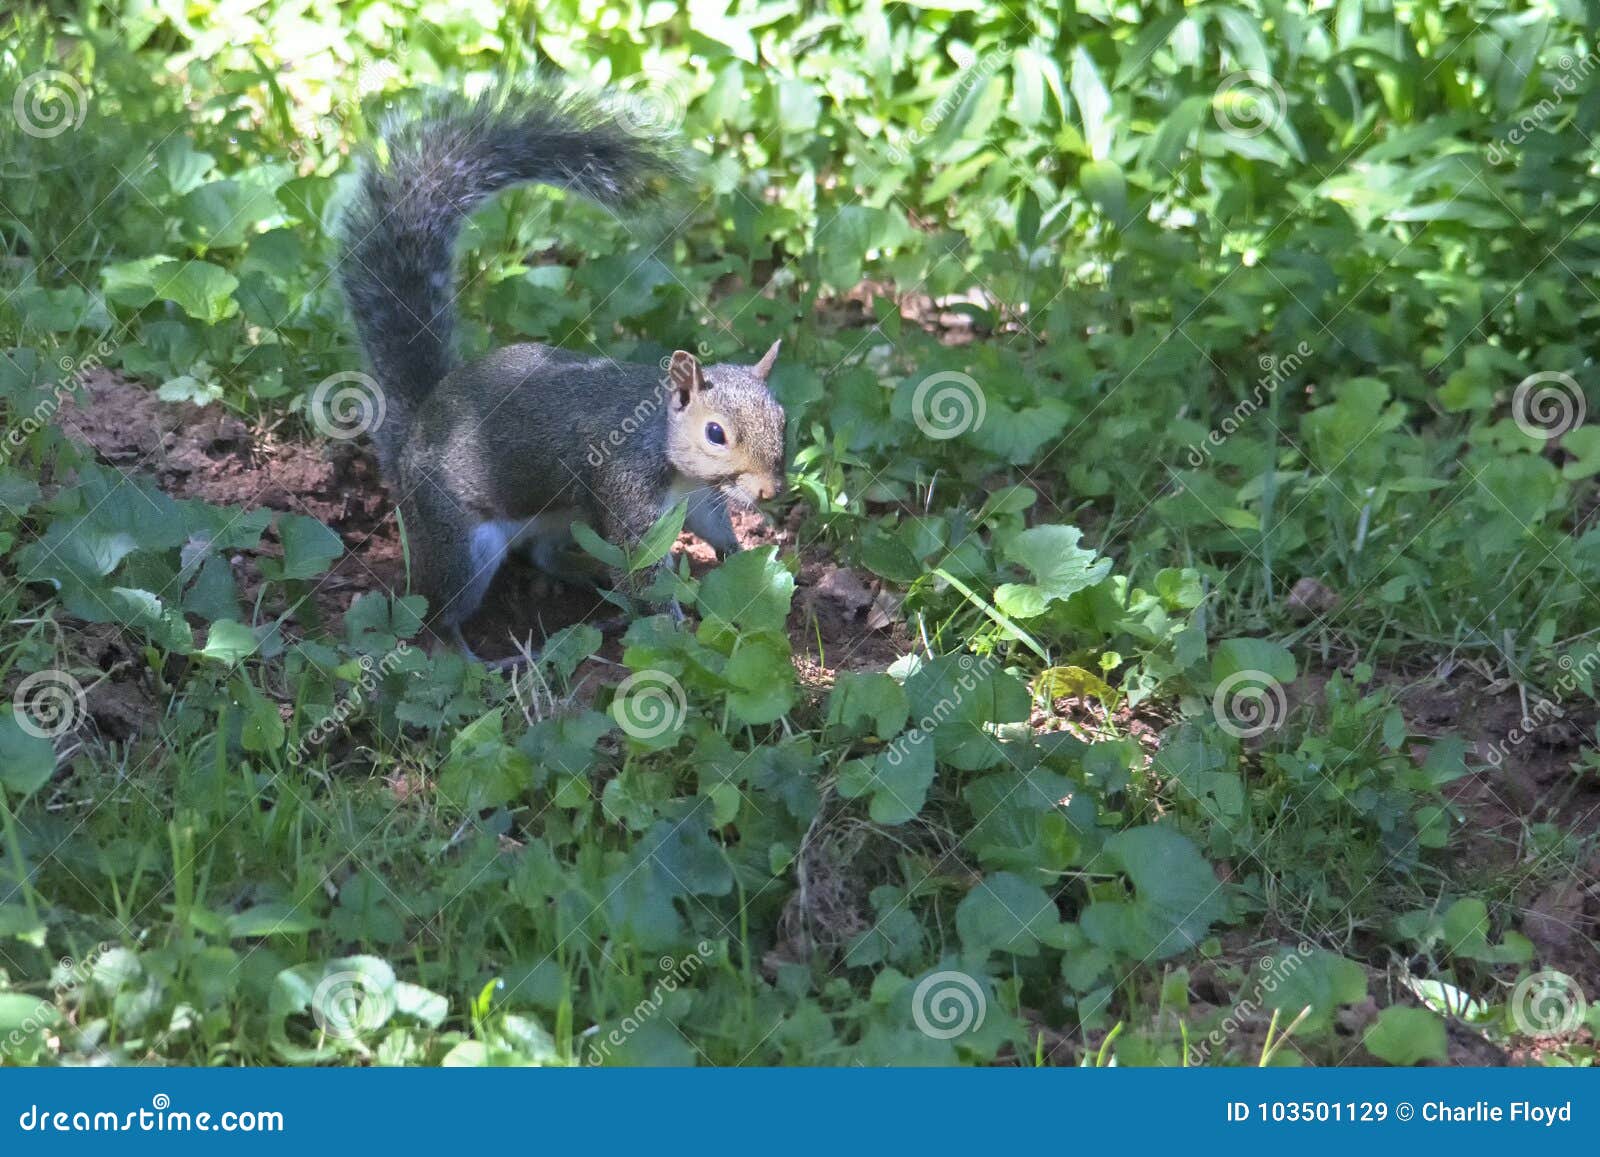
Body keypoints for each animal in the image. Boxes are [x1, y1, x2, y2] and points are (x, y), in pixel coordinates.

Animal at [337, 86, 788, 653]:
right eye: (715, 433)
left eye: (783, 420)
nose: (771, 492)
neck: (663, 442)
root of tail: (410, 437)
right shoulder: (625, 487)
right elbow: (642, 574)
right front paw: (676, 636)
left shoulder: (698, 498)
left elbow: (714, 528)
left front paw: (743, 562)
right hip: (459, 541)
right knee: (438, 611)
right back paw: (472, 657)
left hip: (558, 516)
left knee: (542, 555)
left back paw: (580, 569)